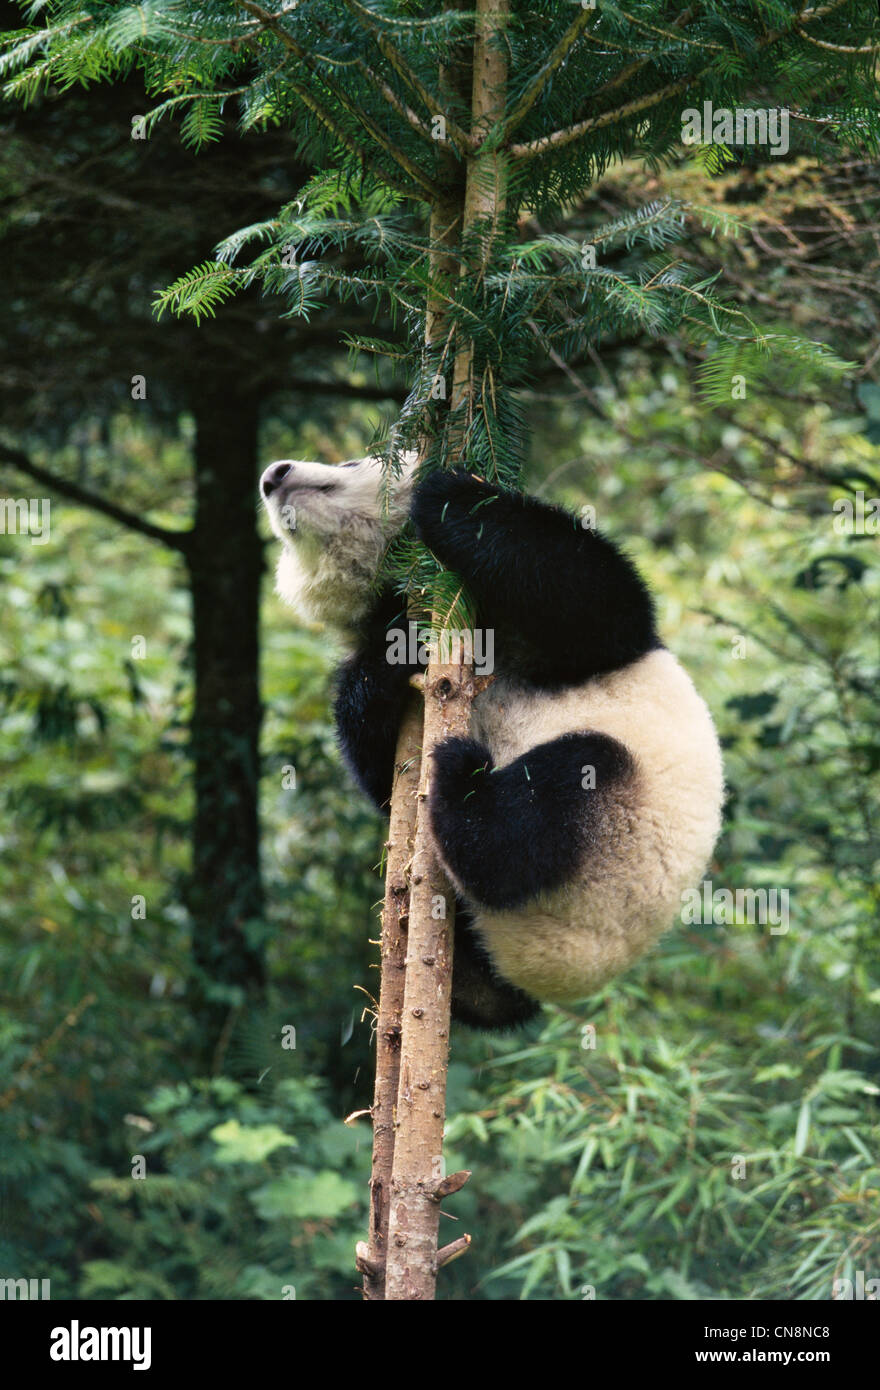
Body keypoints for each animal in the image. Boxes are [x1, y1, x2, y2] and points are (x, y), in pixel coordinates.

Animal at [261, 453, 724, 1030]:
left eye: (351, 460)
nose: (273, 476)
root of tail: (544, 969)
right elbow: (379, 762)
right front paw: (389, 656)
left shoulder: (565, 633)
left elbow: (590, 597)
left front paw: (444, 491)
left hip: (624, 846)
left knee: (556, 796)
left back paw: (462, 777)